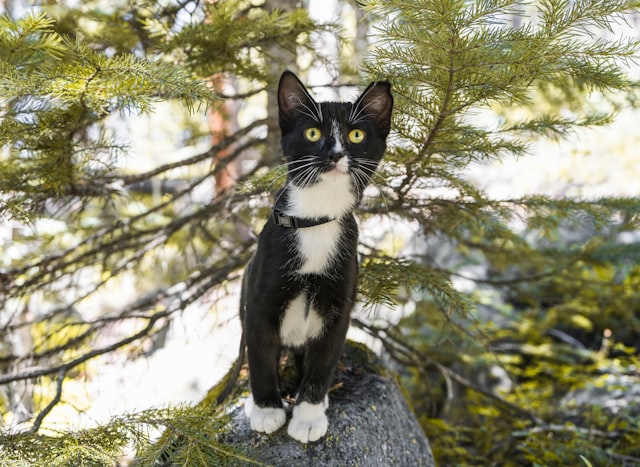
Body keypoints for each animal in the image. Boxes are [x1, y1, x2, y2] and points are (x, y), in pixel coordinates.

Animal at [240, 71, 390, 444]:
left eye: (356, 134)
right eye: (312, 133)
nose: (334, 154)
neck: (315, 221)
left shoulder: (339, 306)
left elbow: (323, 361)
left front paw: (308, 416)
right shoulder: (260, 301)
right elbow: (260, 354)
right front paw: (266, 410)